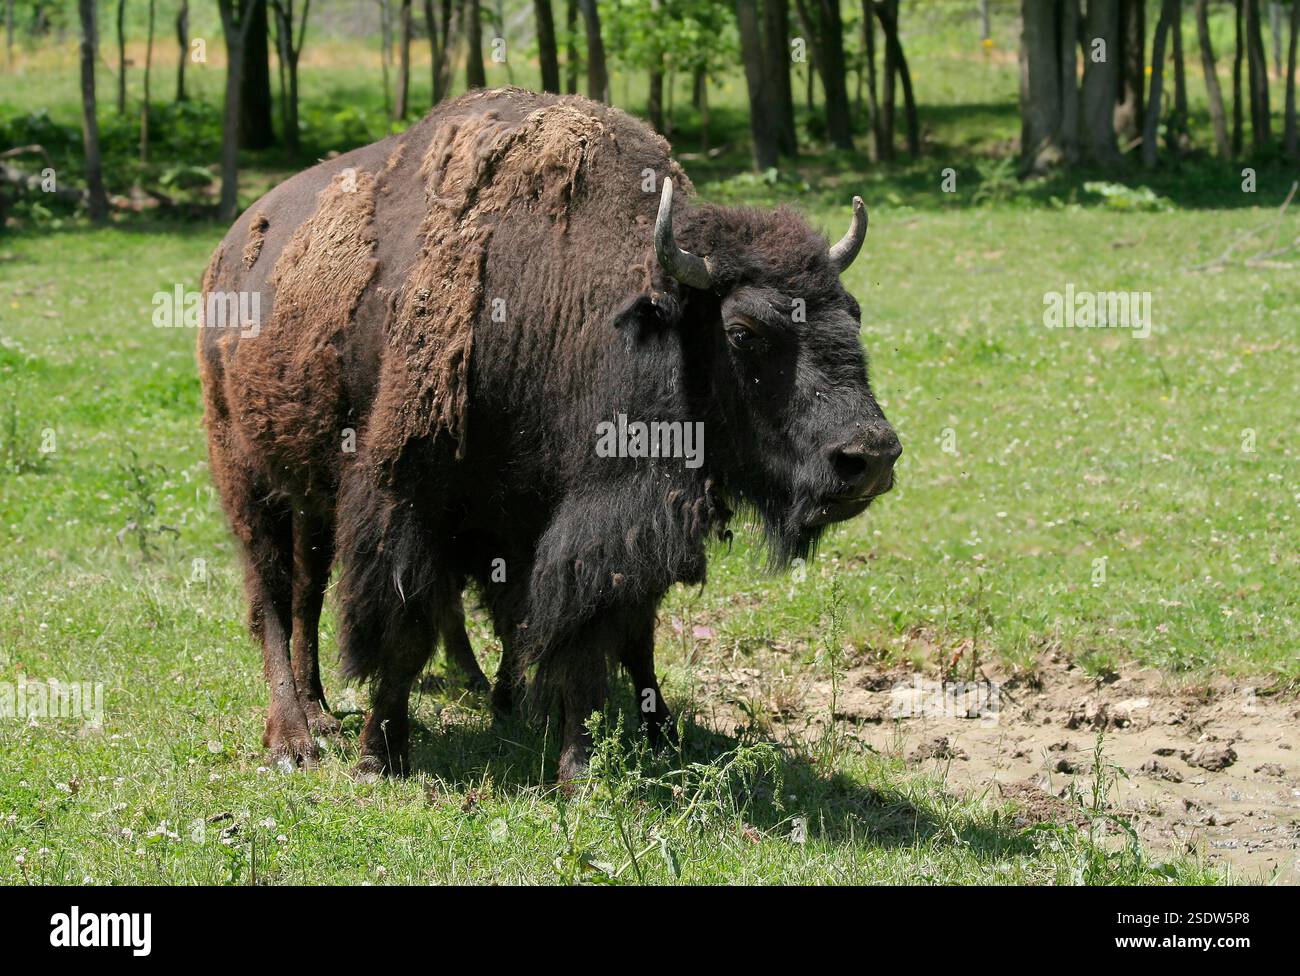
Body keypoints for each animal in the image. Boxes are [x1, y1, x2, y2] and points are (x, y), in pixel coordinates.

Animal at [199, 88, 899, 782]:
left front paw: (597, 756)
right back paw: (294, 739)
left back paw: (330, 710)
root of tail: (228, 252)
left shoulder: (589, 528)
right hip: (245, 473)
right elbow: (406, 627)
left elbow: (601, 634)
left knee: (310, 591)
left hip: (310, 492)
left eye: (853, 312)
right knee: (273, 594)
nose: (870, 456)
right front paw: (382, 754)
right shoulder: (410, 497)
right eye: (742, 331)